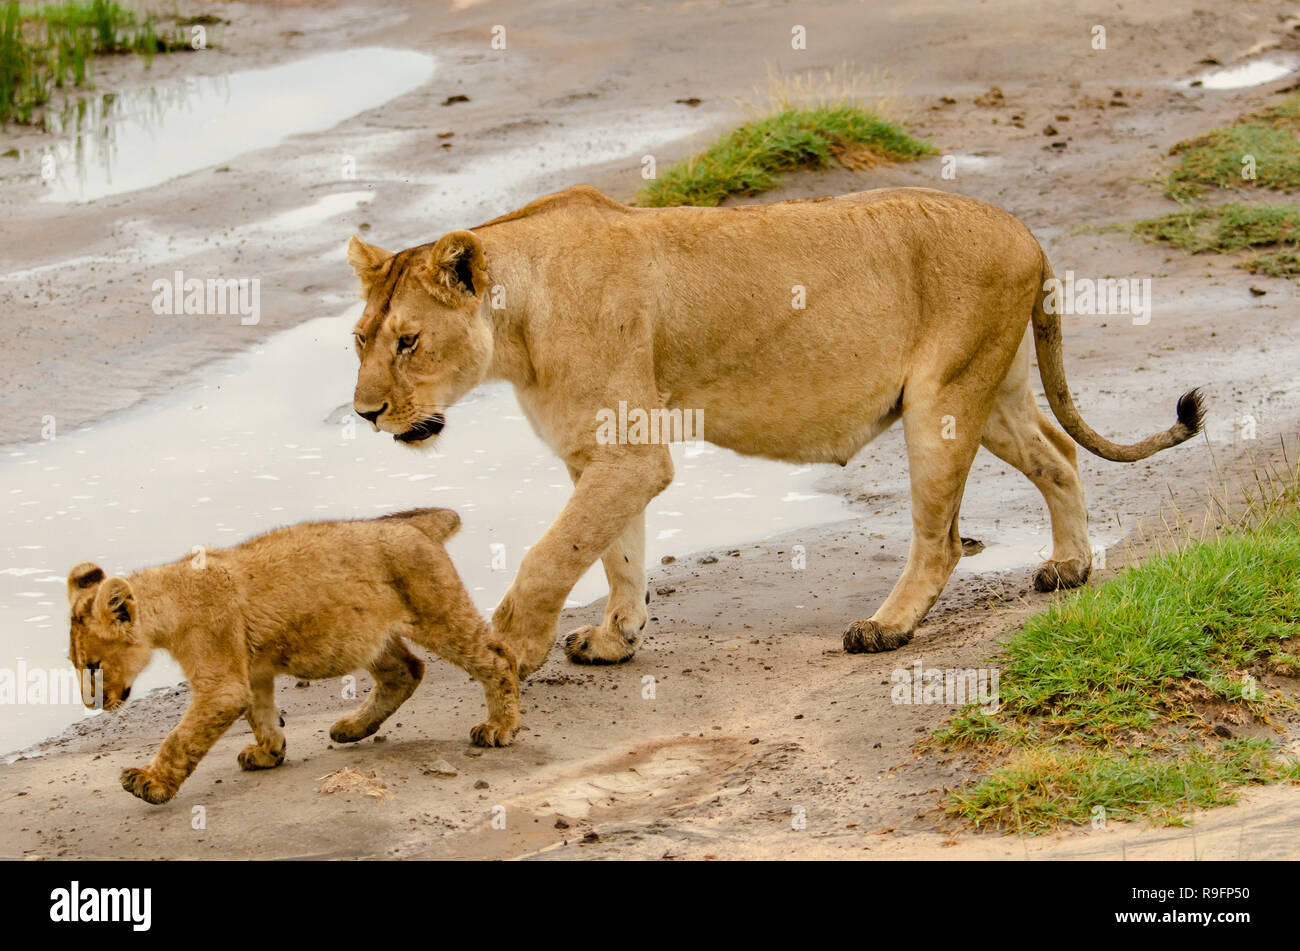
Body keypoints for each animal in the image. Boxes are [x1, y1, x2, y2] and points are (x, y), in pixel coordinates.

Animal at [65, 508, 519, 805]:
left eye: (93, 666)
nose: (93, 703)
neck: (169, 600)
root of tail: (413, 524)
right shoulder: (252, 671)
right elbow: (261, 715)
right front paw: (268, 753)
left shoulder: (222, 682)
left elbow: (181, 737)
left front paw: (149, 783)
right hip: (366, 633)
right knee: (406, 671)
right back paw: (351, 728)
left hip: (436, 612)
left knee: (498, 656)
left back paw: (500, 727)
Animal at [346, 185, 1202, 677]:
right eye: (360, 339)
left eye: (408, 342)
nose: (364, 413)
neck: (518, 318)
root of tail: (1025, 231)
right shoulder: (602, 454)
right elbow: (617, 551)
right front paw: (617, 638)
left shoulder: (631, 453)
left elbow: (551, 553)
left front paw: (512, 649)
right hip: (993, 391)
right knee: (1058, 456)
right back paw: (1070, 564)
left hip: (943, 401)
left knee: (941, 538)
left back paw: (888, 626)